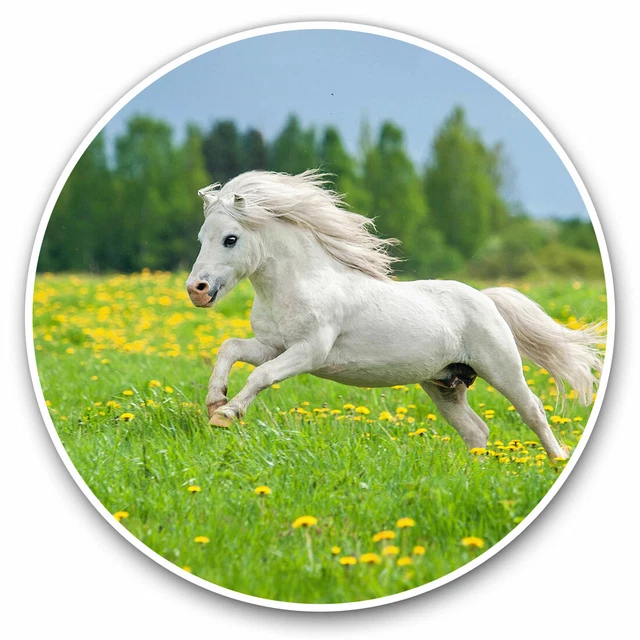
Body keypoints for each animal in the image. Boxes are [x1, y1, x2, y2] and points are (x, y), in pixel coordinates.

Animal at [185, 170, 604, 460]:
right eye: (201, 238)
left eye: (231, 239)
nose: (197, 290)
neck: (301, 282)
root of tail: (486, 299)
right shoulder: (272, 344)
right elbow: (230, 348)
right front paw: (215, 401)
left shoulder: (308, 352)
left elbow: (262, 375)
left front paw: (227, 414)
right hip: (444, 385)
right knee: (476, 430)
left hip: (501, 368)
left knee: (533, 410)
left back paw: (557, 459)